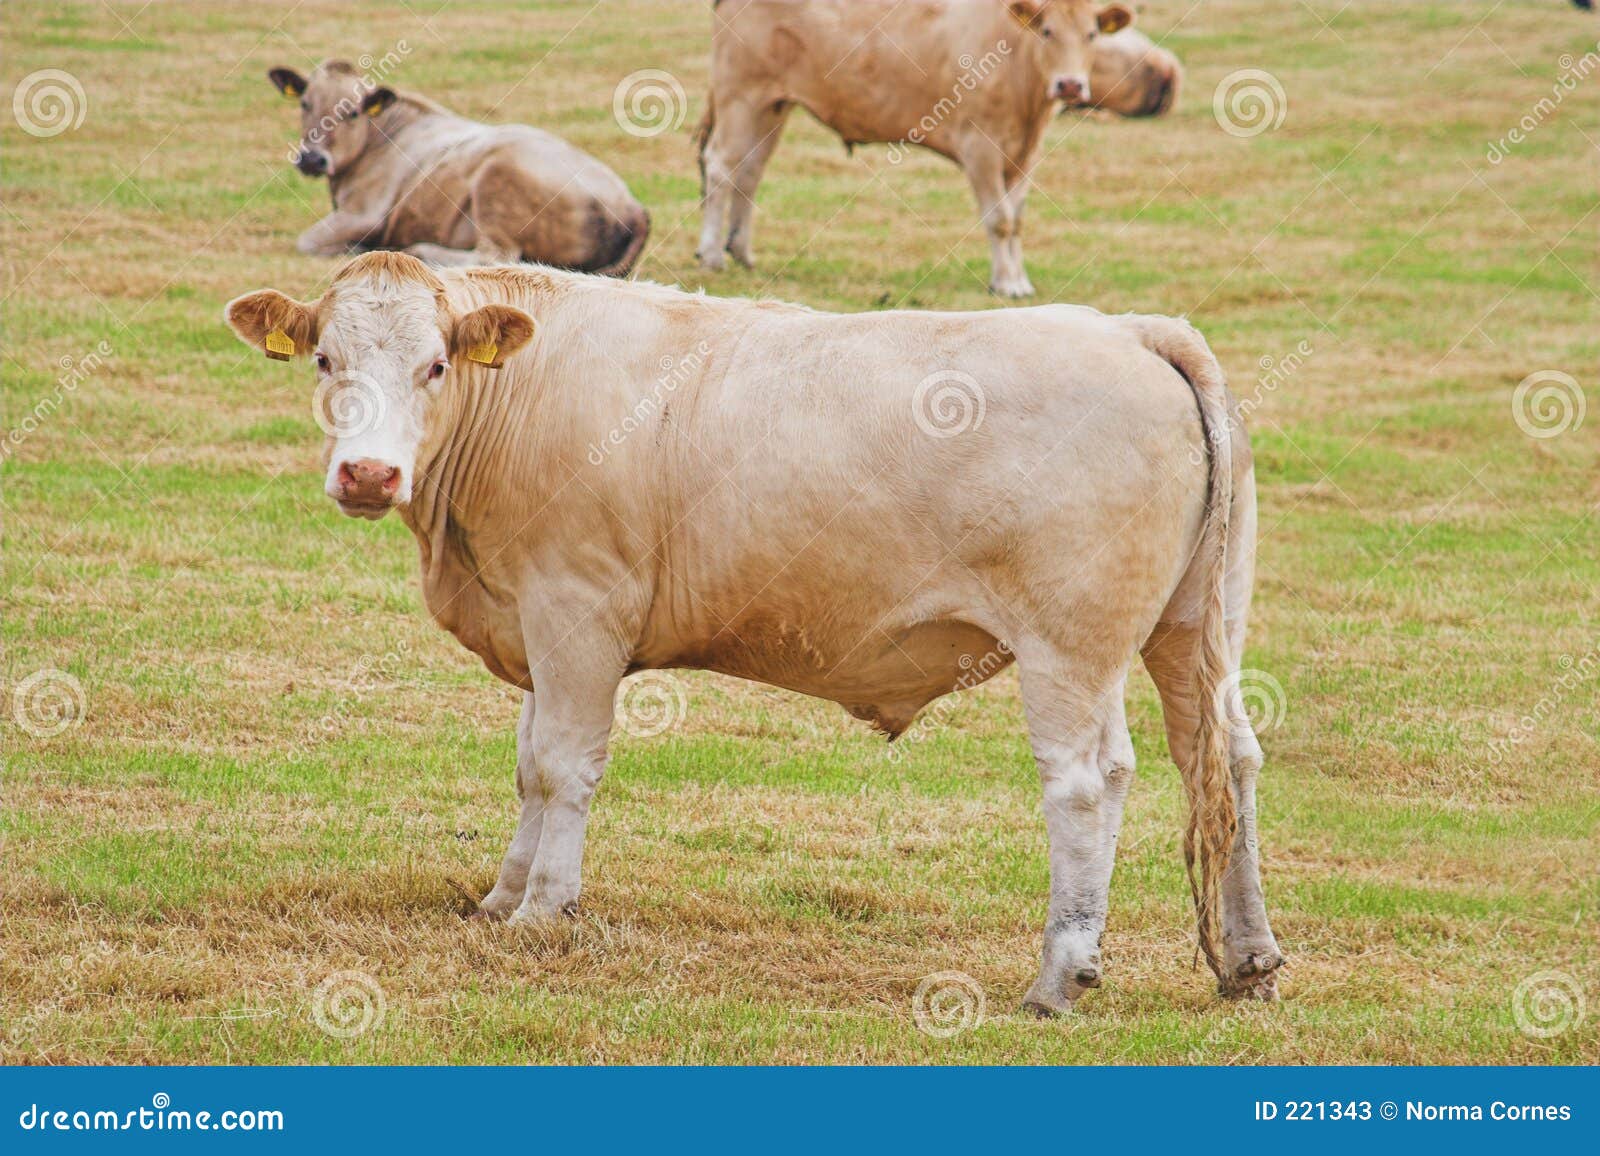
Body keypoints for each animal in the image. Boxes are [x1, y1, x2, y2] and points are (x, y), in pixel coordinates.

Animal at [223, 251, 1284, 1011]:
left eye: (435, 365)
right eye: (325, 360)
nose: (368, 474)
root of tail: (1134, 330)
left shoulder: (578, 611)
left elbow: (564, 767)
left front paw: (543, 912)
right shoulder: (533, 619)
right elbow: (528, 765)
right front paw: (501, 897)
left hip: (1072, 646)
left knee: (1088, 782)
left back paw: (1062, 972)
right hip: (1197, 626)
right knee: (1225, 756)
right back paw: (1247, 956)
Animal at [268, 60, 650, 276]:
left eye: (352, 113)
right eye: (305, 104)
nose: (312, 158)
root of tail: (634, 206)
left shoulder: (364, 212)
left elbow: (306, 242)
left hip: (497, 177)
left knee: (496, 257)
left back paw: (417, 251)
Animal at [696, 0, 1138, 298]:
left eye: (1092, 35)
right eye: (1047, 32)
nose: (1070, 85)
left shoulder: (1026, 155)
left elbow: (1017, 220)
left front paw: (1017, 279)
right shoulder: (980, 146)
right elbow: (999, 219)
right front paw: (1006, 283)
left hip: (772, 106)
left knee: (749, 172)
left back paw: (741, 251)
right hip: (741, 97)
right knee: (720, 167)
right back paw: (712, 254)